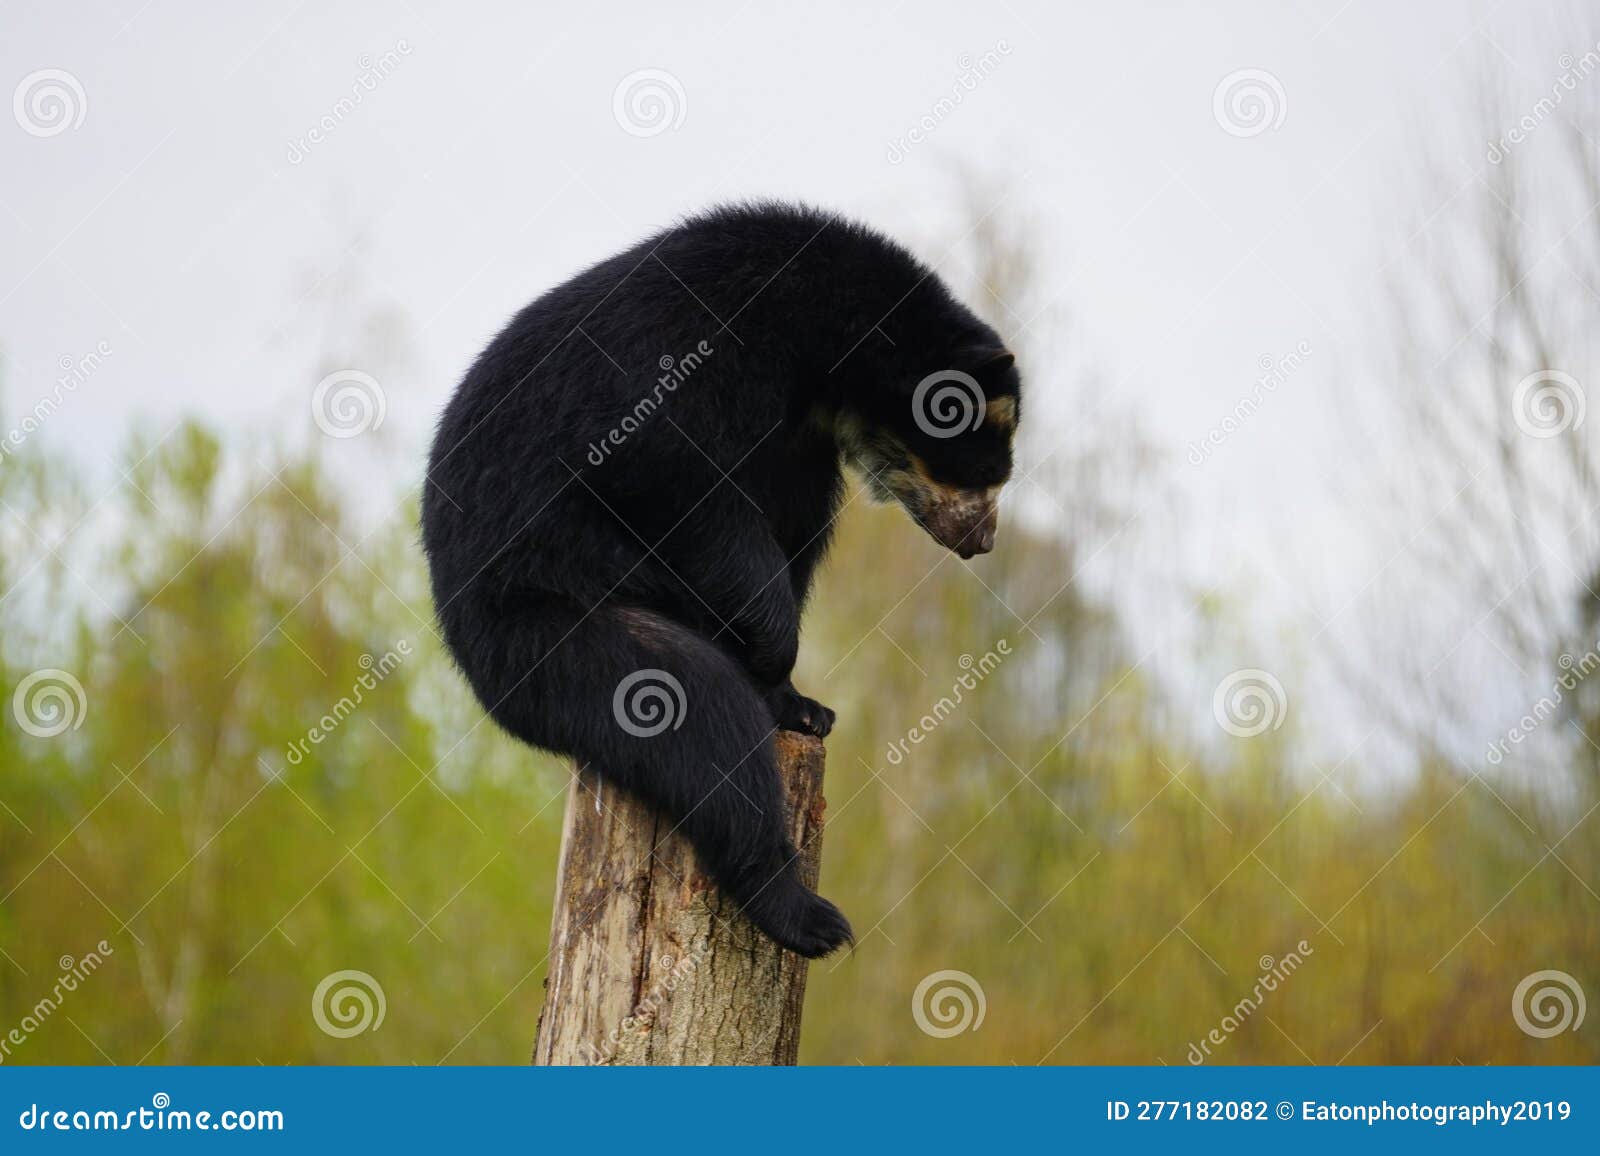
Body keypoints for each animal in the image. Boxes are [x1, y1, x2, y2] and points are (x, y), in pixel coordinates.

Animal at [421, 202, 1021, 957]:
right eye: (987, 468)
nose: (981, 541)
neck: (821, 356)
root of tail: (458, 638)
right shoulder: (683, 355)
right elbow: (670, 477)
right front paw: (770, 649)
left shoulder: (800, 447)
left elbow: (795, 532)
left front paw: (796, 697)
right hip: (543, 622)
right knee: (698, 716)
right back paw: (806, 913)